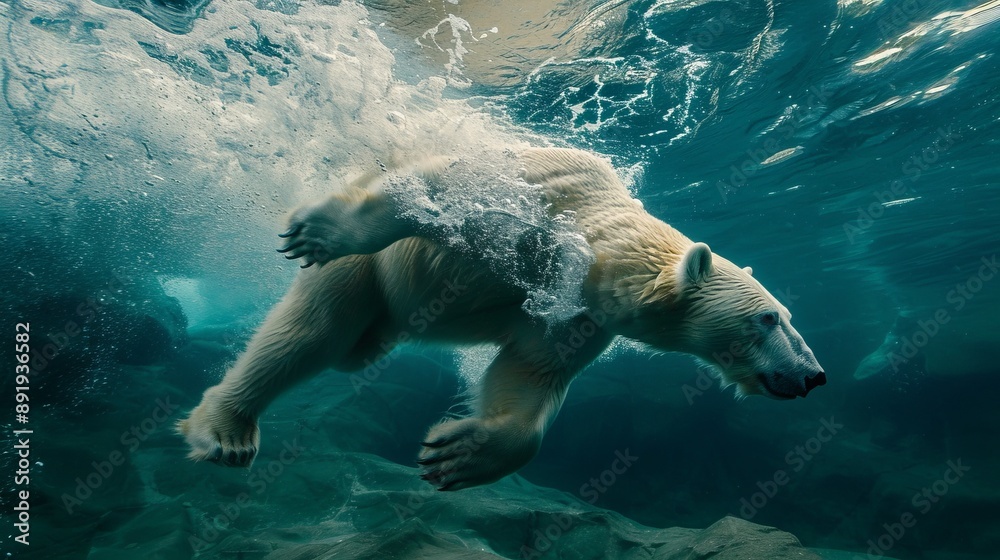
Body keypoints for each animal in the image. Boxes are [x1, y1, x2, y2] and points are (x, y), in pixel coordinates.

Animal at [177, 147, 825, 491]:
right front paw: (324, 228)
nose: (814, 375)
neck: (590, 244)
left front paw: (457, 453)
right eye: (769, 318)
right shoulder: (538, 192)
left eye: (787, 316)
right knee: (310, 333)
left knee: (344, 344)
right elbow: (440, 189)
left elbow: (529, 373)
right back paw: (227, 430)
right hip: (364, 276)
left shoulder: (576, 314)